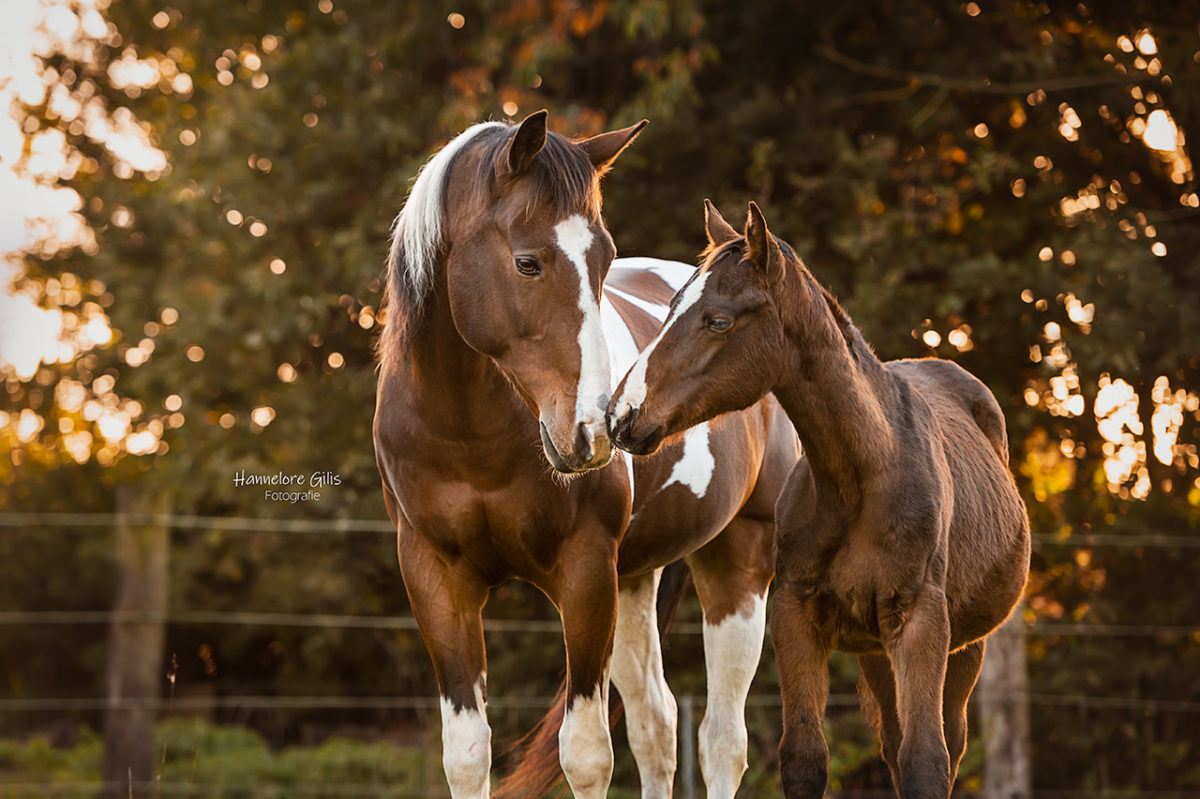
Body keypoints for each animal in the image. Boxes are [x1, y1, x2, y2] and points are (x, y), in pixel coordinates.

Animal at [373, 113, 800, 799]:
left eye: (604, 259)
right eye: (527, 263)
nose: (598, 430)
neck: (469, 435)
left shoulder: (586, 570)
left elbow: (587, 756)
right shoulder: (435, 576)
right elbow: (466, 755)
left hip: (737, 562)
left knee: (721, 742)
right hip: (636, 579)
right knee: (657, 725)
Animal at [607, 201, 1031, 798]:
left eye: (718, 320)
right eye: (669, 309)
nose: (621, 415)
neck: (860, 480)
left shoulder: (921, 623)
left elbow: (927, 761)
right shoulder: (796, 617)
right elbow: (805, 759)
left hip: (965, 649)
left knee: (941, 744)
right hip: (878, 654)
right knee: (892, 745)